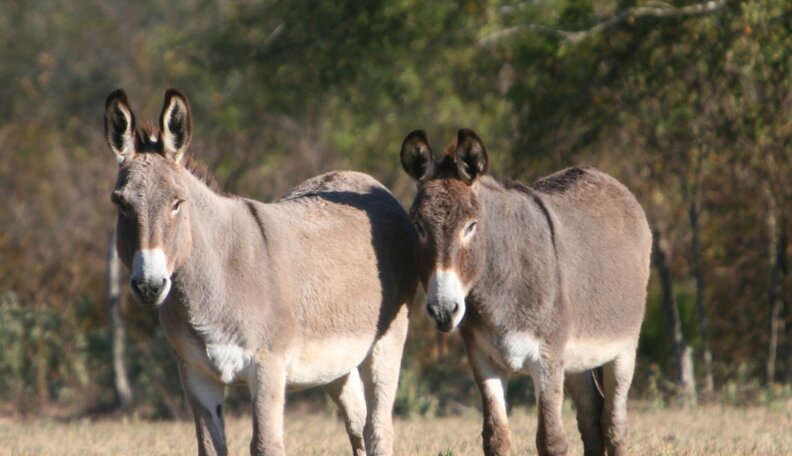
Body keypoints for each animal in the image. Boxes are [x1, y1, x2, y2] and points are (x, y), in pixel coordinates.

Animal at [103, 88, 417, 456]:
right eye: (121, 204)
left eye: (177, 203)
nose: (149, 286)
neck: (218, 275)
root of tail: (368, 181)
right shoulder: (196, 374)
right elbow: (210, 448)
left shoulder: (268, 366)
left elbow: (266, 445)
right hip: (336, 360)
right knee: (357, 420)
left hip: (387, 339)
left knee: (378, 427)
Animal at [400, 129, 651, 456]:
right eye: (418, 226)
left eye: (471, 226)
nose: (443, 310)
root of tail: (607, 179)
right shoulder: (483, 359)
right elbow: (496, 438)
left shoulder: (547, 359)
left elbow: (551, 440)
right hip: (577, 360)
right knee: (591, 419)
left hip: (623, 348)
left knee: (614, 424)